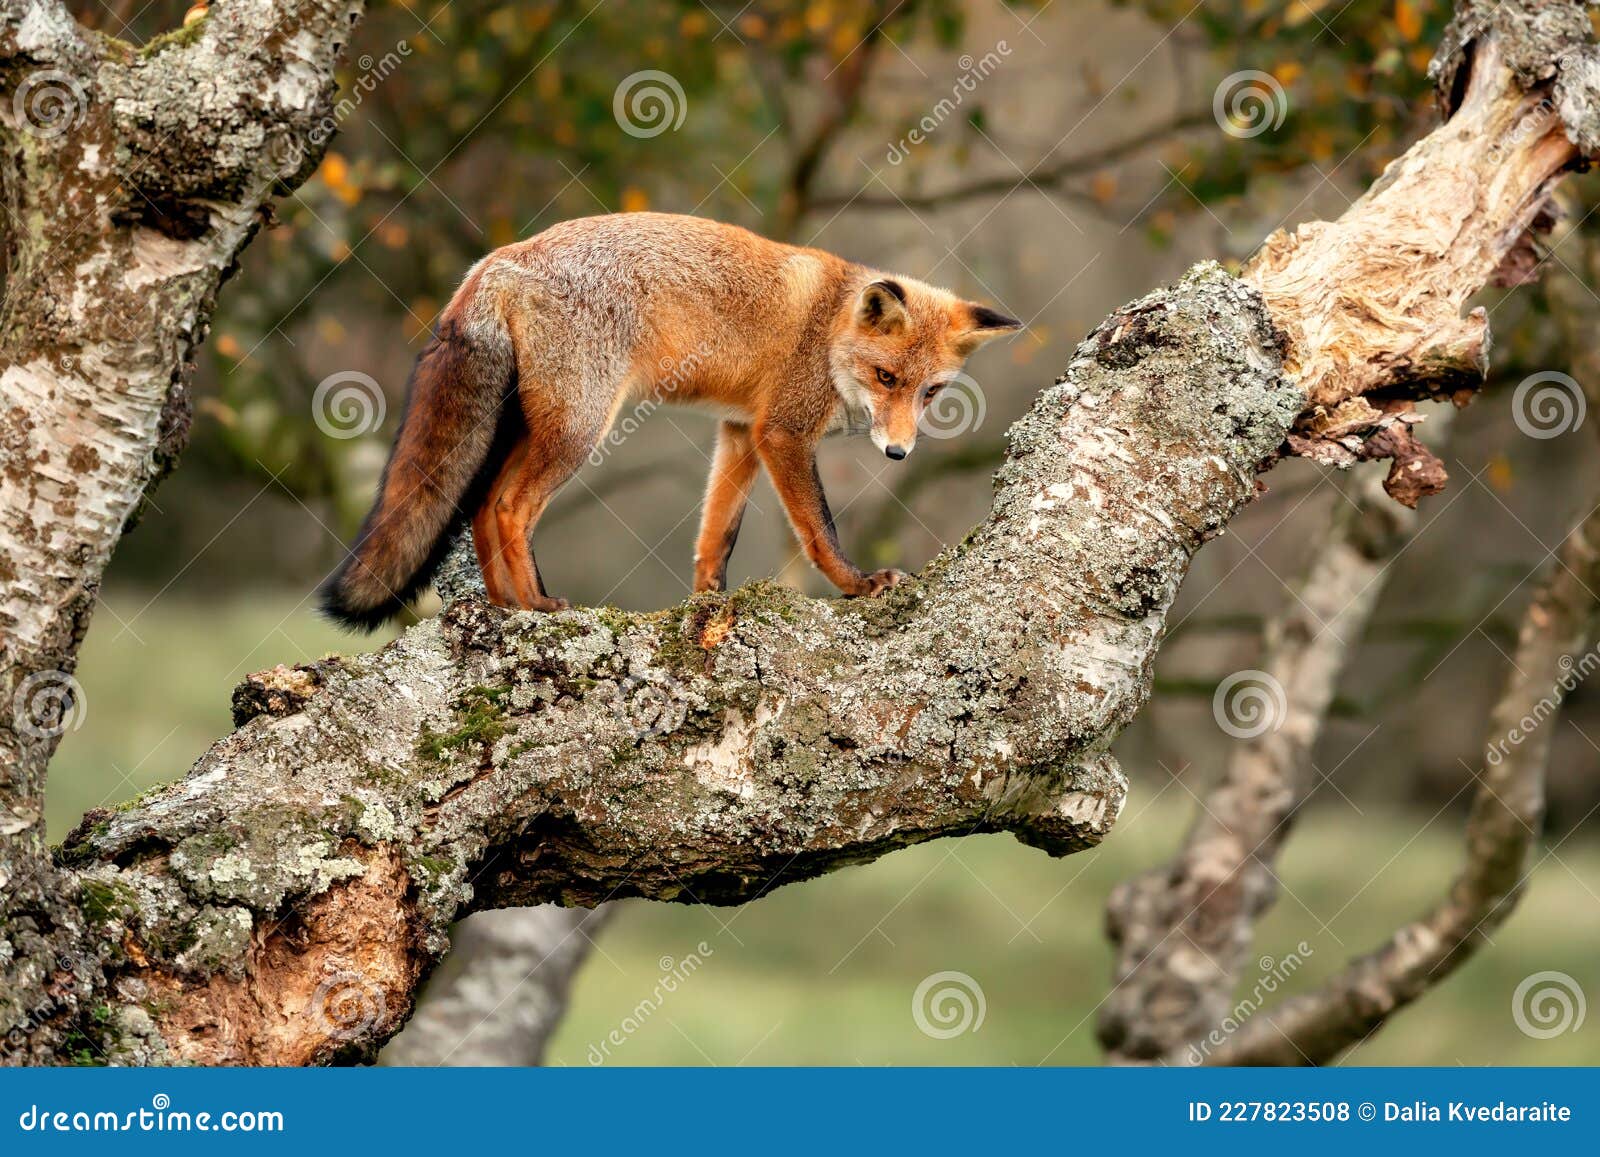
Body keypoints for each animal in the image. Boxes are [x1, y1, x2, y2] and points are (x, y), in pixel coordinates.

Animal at [319, 212, 1021, 630]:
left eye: (930, 392)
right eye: (886, 379)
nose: (899, 454)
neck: (828, 329)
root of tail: (499, 259)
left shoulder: (740, 432)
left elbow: (718, 535)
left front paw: (709, 605)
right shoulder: (782, 432)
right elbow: (819, 530)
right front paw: (858, 584)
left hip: (531, 425)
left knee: (484, 504)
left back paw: (506, 608)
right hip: (580, 429)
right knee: (508, 506)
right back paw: (536, 603)